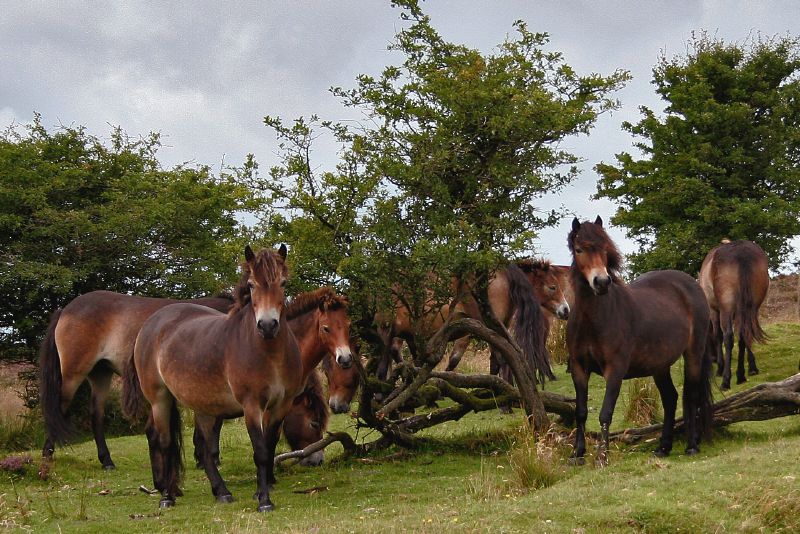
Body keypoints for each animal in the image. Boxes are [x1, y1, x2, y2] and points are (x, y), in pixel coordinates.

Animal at [125, 245, 303, 511]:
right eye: (251, 285)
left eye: (283, 283)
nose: (268, 325)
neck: (269, 353)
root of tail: (151, 324)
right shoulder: (252, 406)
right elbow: (261, 452)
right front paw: (264, 501)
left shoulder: (281, 405)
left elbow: (269, 447)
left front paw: (261, 491)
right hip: (159, 400)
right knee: (165, 442)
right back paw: (167, 497)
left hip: (203, 406)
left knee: (205, 451)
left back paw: (221, 491)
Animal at [566, 217, 713, 466]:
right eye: (579, 249)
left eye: (605, 249)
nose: (602, 282)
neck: (592, 321)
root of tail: (692, 284)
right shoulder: (578, 368)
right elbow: (581, 411)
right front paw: (577, 454)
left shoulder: (615, 370)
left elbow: (605, 412)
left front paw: (602, 457)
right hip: (660, 366)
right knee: (670, 399)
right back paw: (663, 447)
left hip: (694, 352)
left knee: (691, 396)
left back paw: (692, 445)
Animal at [698, 240, 769, 390]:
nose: (713, 359)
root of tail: (741, 253)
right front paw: (752, 366)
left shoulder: (714, 311)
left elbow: (718, 336)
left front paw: (720, 368)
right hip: (751, 307)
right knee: (745, 333)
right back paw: (741, 374)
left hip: (726, 308)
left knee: (728, 337)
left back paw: (727, 380)